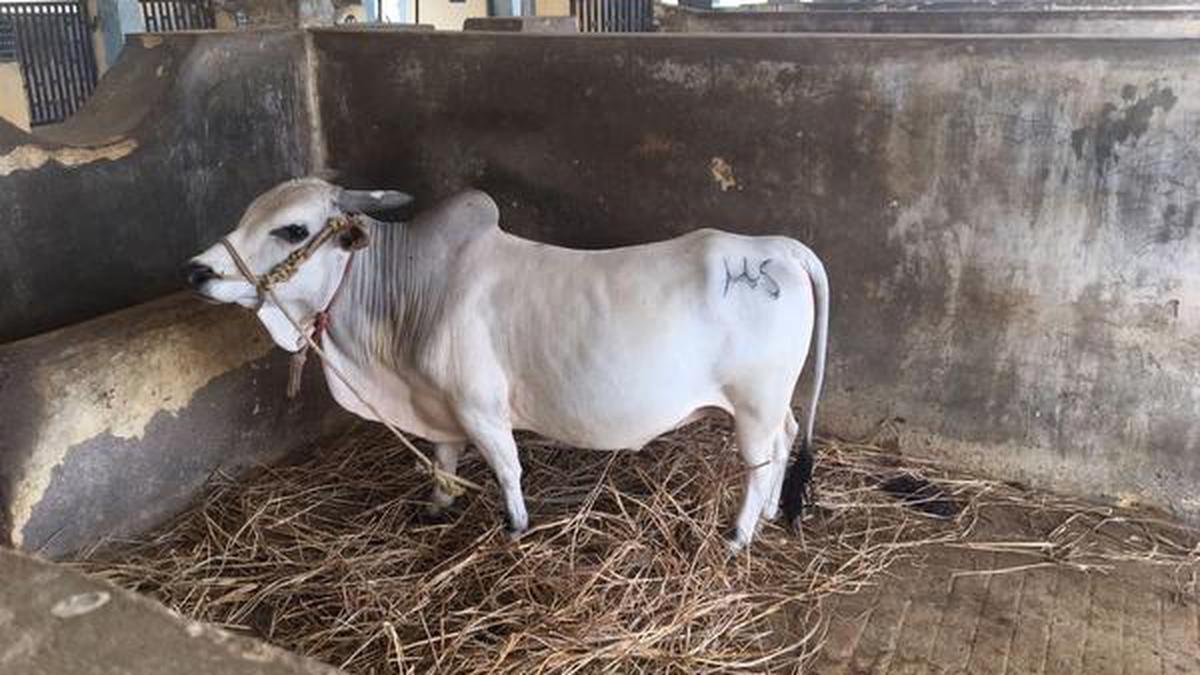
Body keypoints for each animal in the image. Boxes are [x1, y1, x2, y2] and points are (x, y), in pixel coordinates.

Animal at [185, 178, 829, 551]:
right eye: (247, 212)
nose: (197, 270)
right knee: (786, 443)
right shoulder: (437, 407)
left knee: (760, 464)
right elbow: (444, 459)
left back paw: (740, 534)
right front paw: (437, 505)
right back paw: (771, 514)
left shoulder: (480, 407)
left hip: (753, 405)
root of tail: (778, 248)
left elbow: (507, 469)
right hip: (773, 405)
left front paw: (515, 527)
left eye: (292, 229)